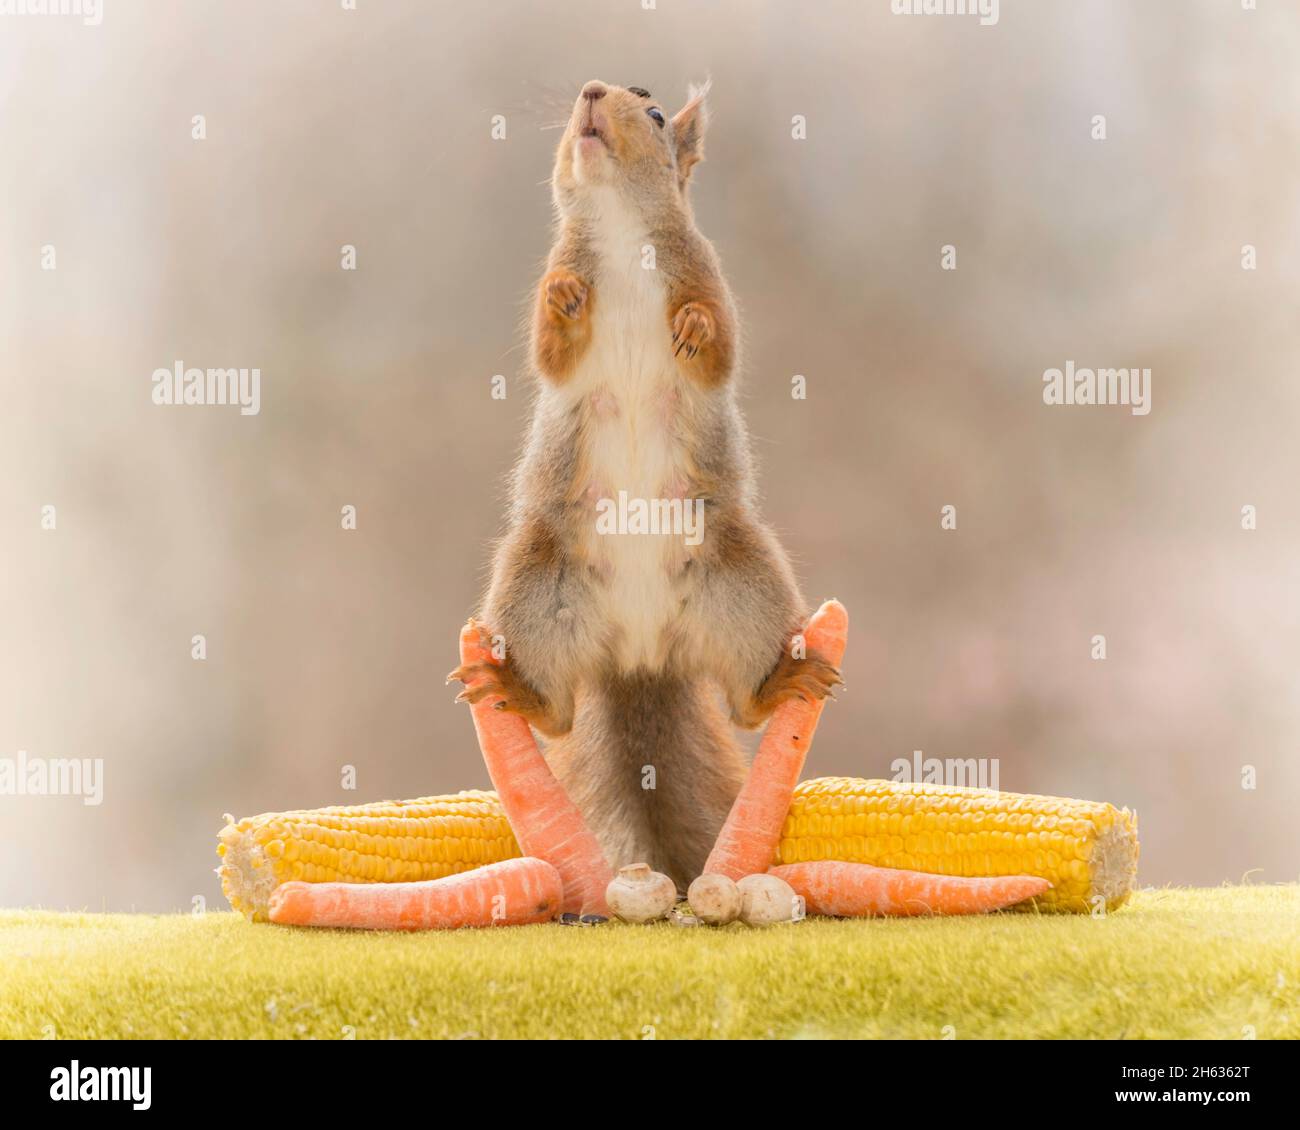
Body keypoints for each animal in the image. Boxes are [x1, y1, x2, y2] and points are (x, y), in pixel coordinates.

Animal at [450, 80, 841, 890]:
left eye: (656, 114)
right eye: (587, 92)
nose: (591, 92)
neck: (624, 231)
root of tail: (639, 656)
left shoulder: (707, 277)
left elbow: (720, 347)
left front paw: (693, 327)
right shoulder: (558, 300)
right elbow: (549, 351)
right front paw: (563, 296)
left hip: (743, 585)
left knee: (746, 709)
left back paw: (780, 686)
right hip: (535, 588)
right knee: (559, 716)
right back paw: (516, 692)